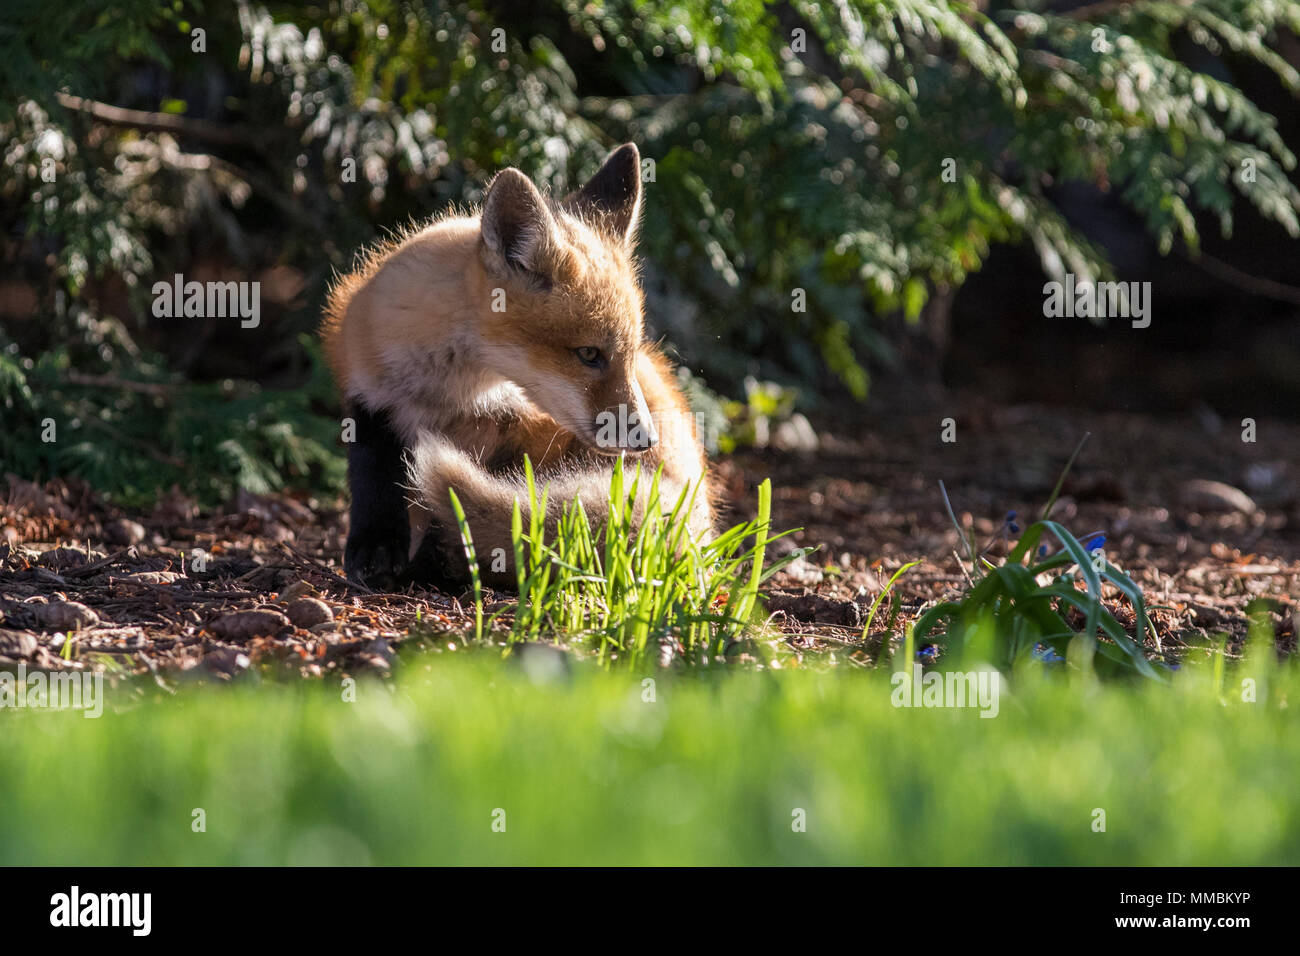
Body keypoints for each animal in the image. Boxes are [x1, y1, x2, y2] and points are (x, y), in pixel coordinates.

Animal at [320, 143, 715, 590]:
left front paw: (434, 560)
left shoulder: (526, 435)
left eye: (629, 354)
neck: (445, 393)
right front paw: (376, 549)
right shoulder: (368, 397)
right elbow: (373, 479)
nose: (644, 439)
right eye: (590, 354)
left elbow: (471, 512)